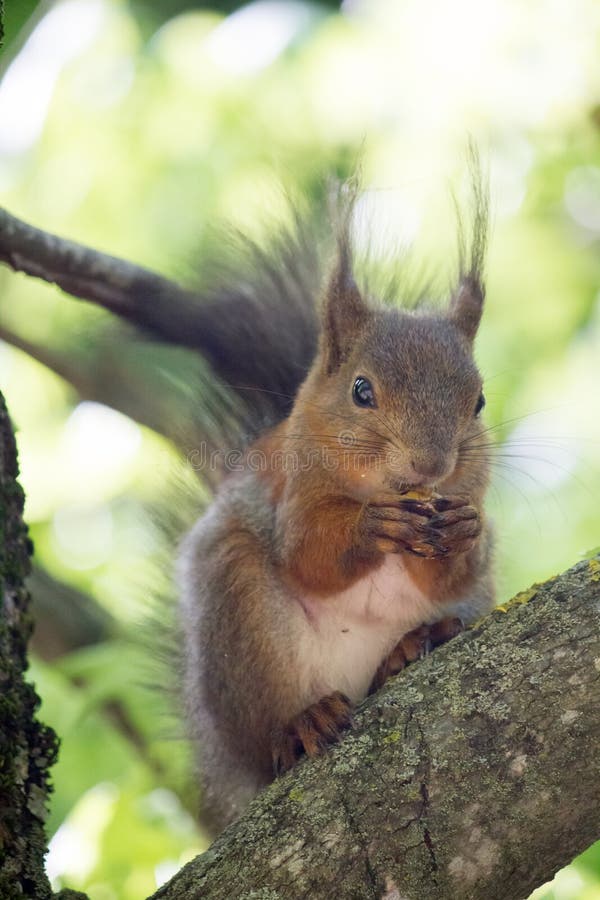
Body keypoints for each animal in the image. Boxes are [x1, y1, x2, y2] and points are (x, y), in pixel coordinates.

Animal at [177, 175, 495, 834]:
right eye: (361, 390)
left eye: (478, 402)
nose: (431, 467)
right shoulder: (290, 495)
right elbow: (309, 557)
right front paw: (371, 526)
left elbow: (454, 566)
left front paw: (463, 530)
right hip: (240, 618)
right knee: (272, 732)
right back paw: (302, 725)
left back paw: (407, 652)